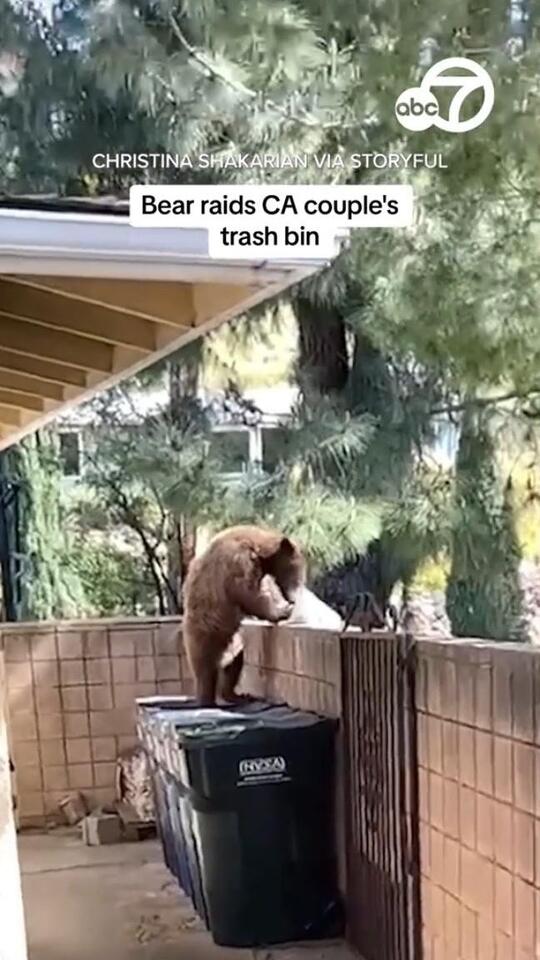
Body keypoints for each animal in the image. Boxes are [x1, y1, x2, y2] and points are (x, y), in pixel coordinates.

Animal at [183, 524, 305, 706]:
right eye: (295, 571)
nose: (293, 599)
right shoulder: (238, 561)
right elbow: (249, 592)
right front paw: (281, 611)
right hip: (205, 630)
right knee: (205, 668)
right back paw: (207, 699)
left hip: (233, 639)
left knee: (235, 663)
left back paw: (235, 694)